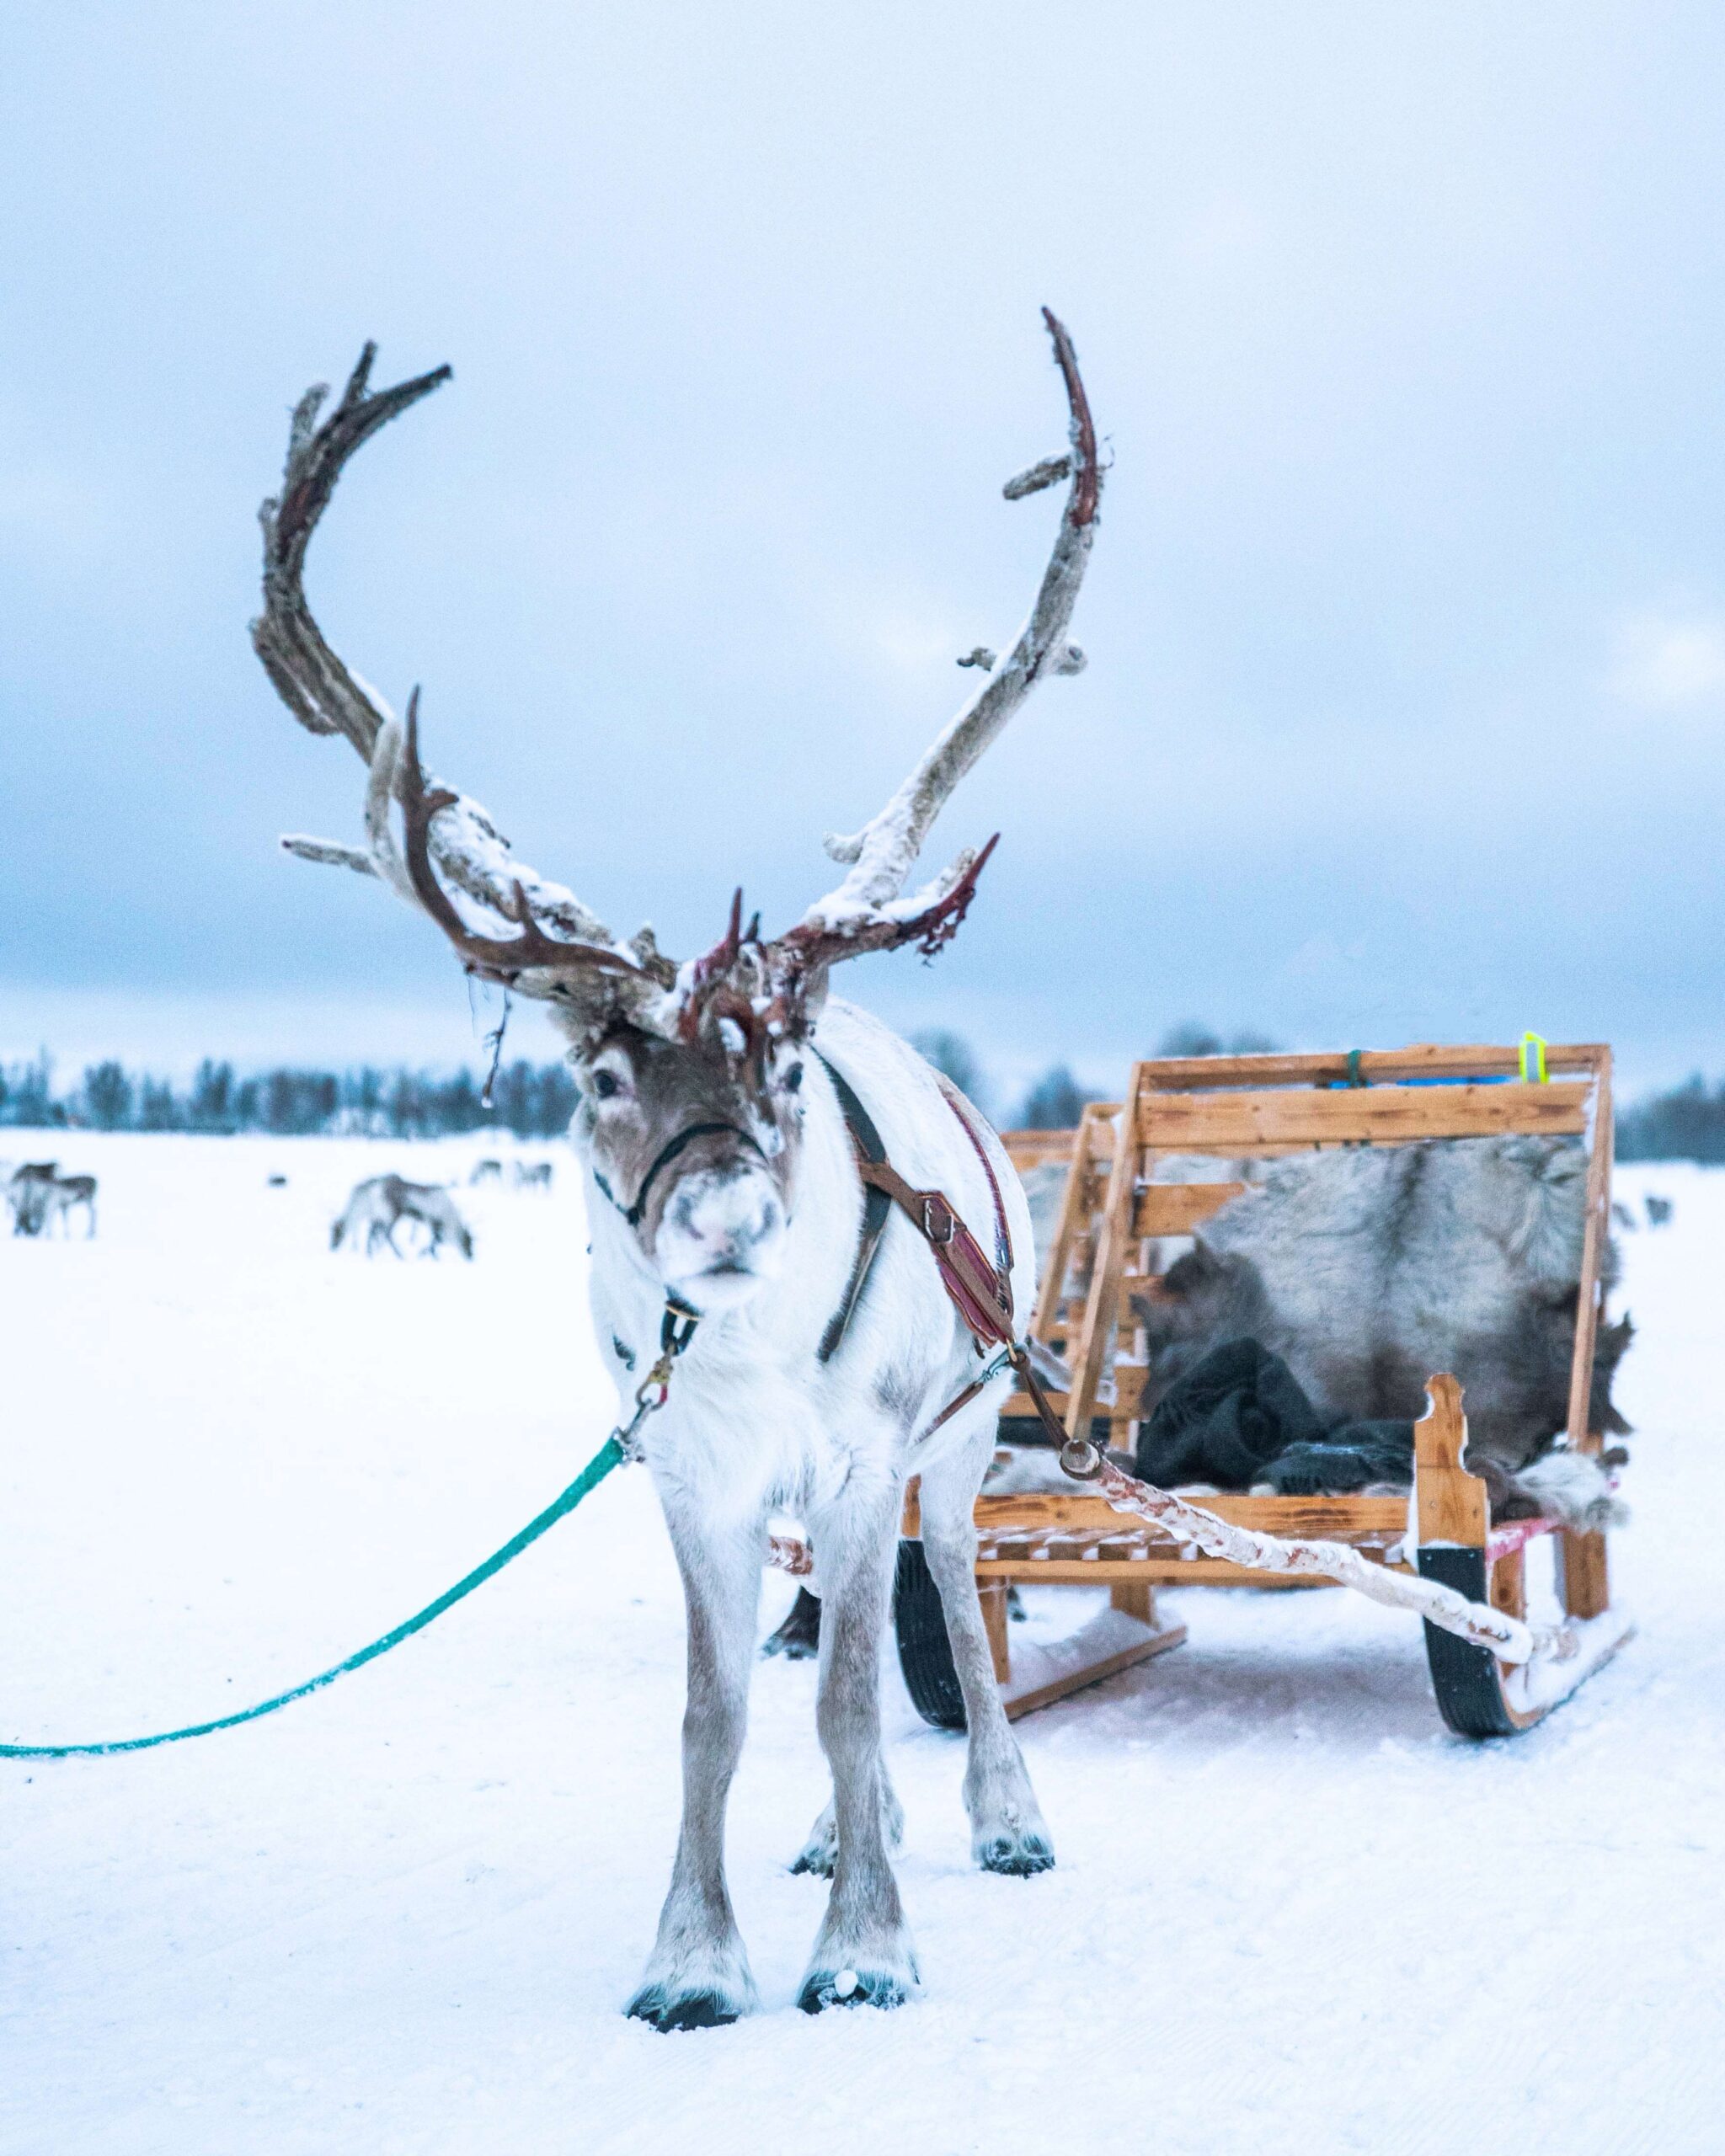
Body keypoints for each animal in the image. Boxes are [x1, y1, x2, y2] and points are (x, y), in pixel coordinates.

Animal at [251, 312, 1100, 2028]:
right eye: (597, 1075)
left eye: (783, 1067)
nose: (724, 1219)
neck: (757, 1357)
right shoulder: (691, 1476)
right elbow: (717, 1717)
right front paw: (695, 1958)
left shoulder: (864, 1459)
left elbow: (855, 1694)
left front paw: (866, 1951)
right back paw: (841, 1834)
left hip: (966, 1435)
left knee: (959, 1607)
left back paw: (998, 1817)